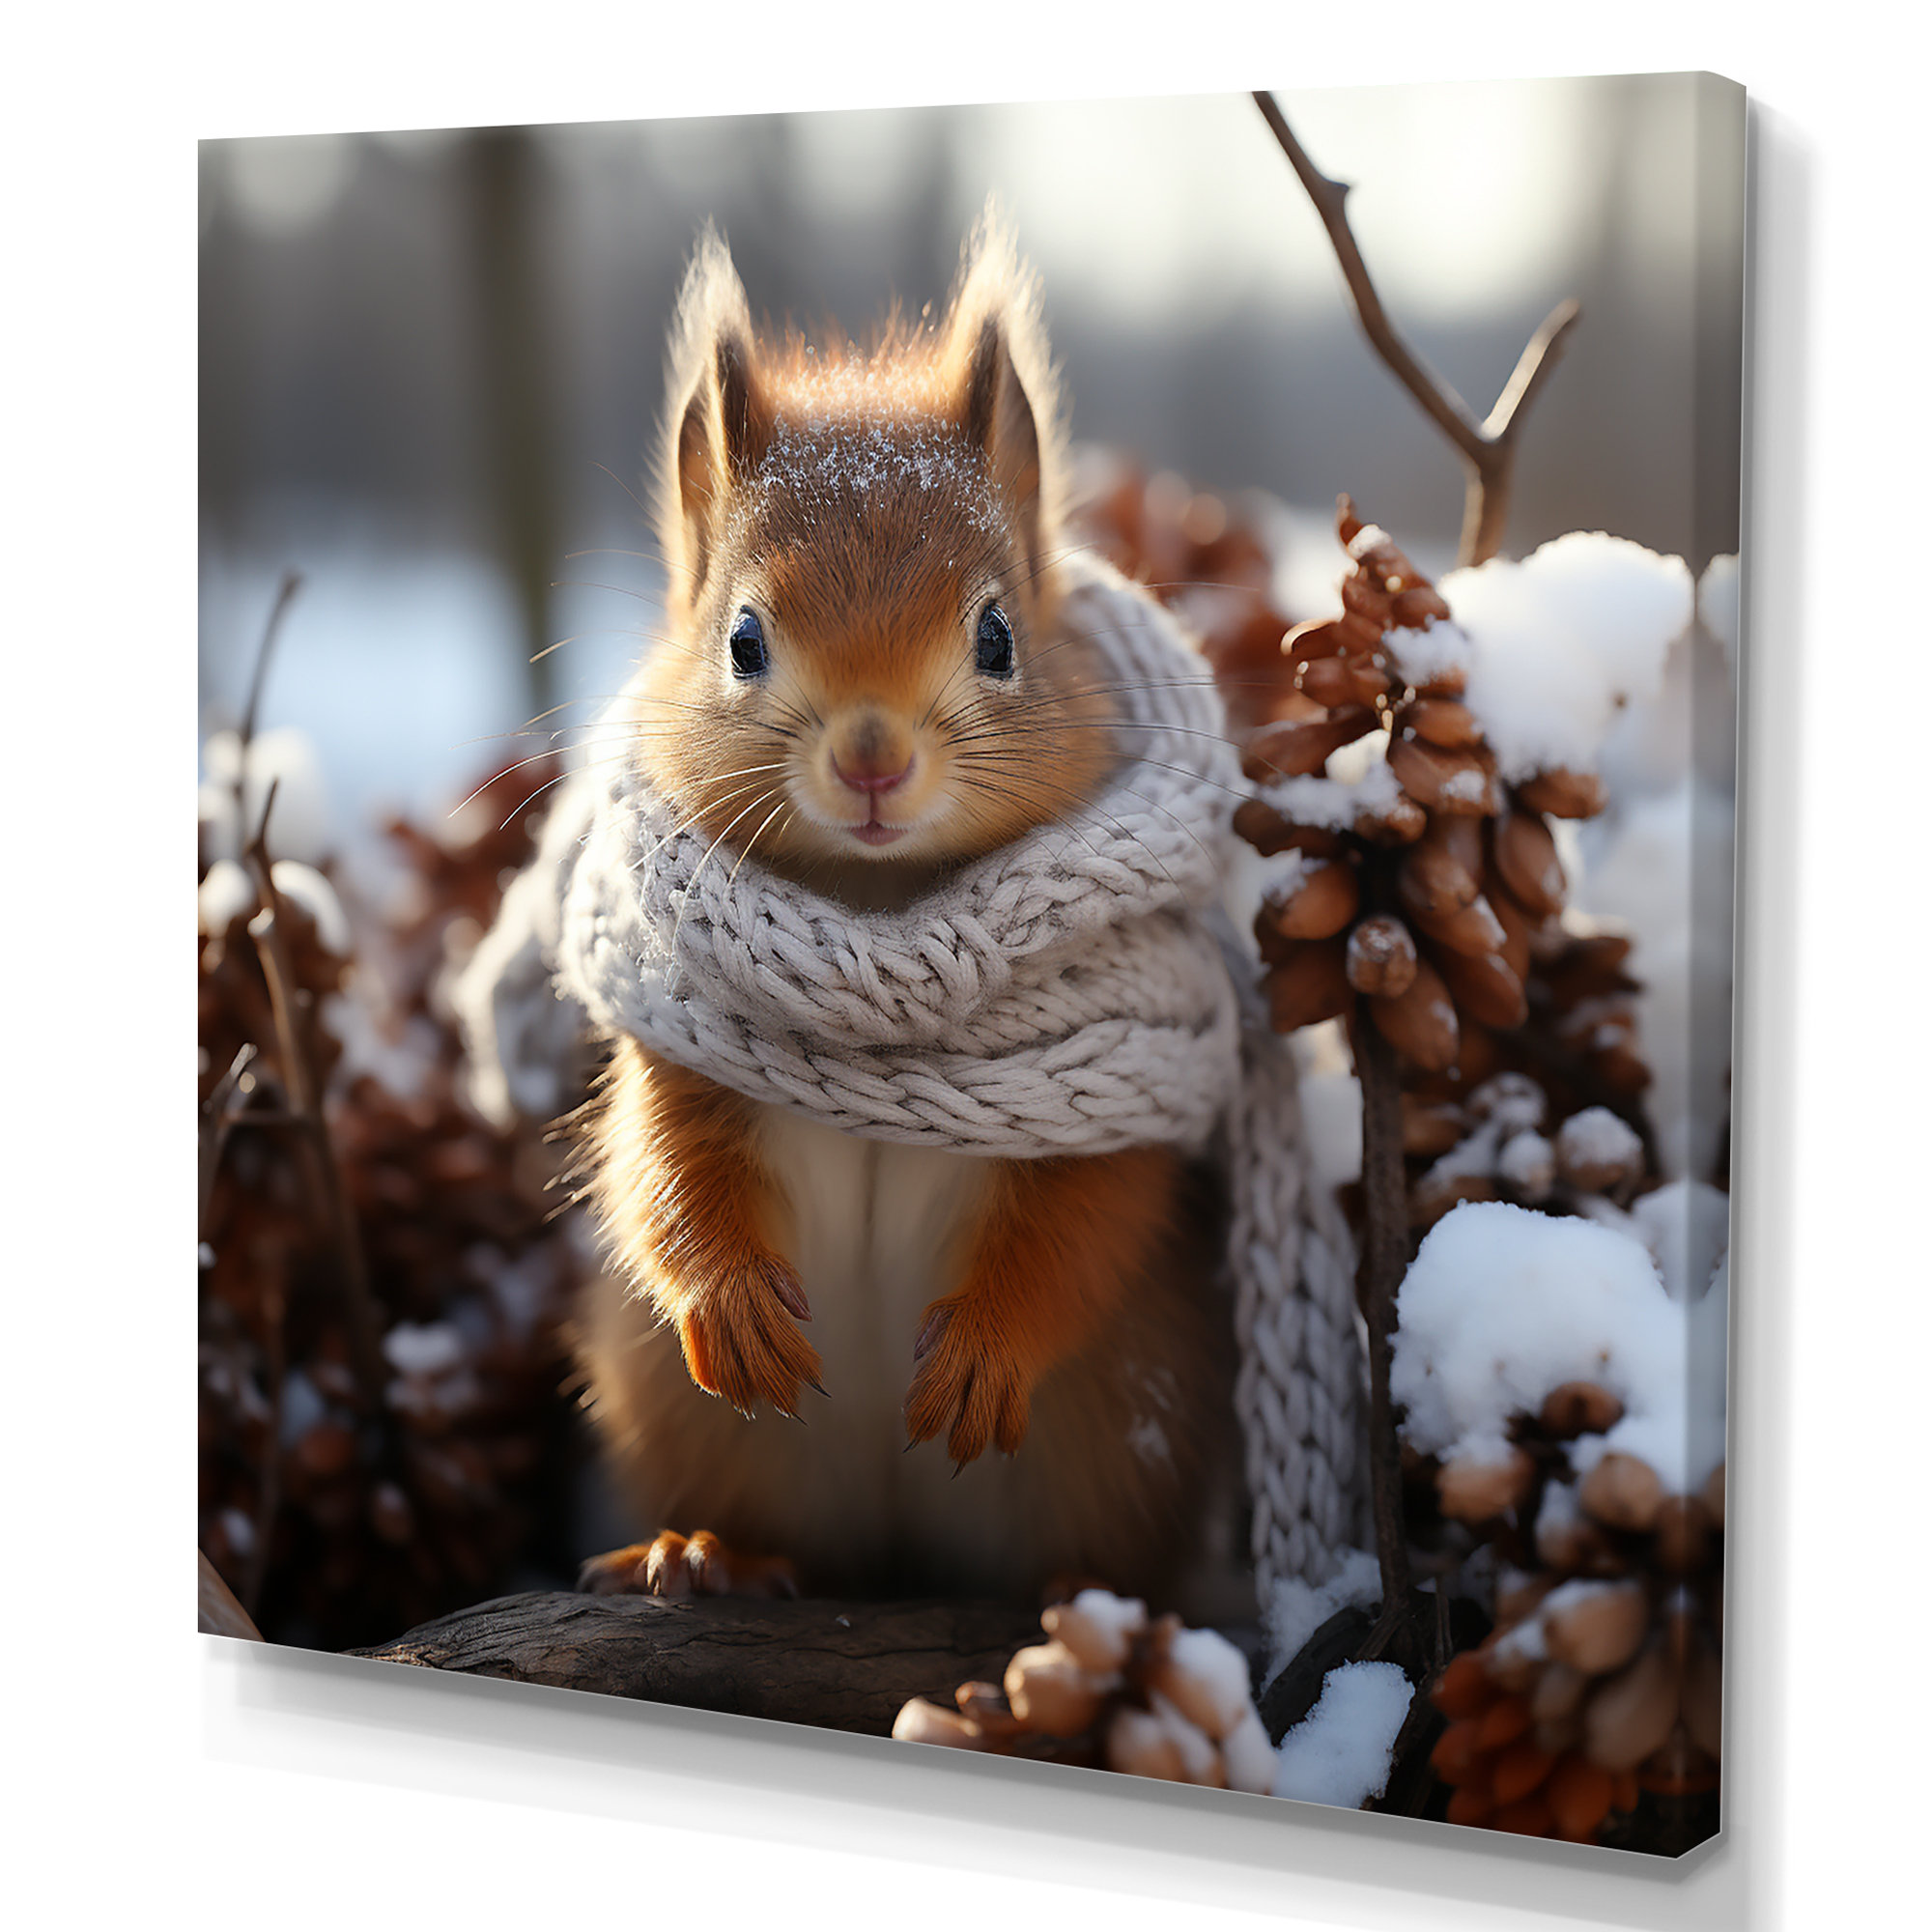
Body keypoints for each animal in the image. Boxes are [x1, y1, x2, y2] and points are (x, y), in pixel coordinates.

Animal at [571, 217, 1238, 1609]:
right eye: (743, 639)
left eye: (997, 638)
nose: (872, 758)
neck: (878, 906)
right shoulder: (680, 1056)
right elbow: (664, 1172)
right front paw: (731, 1303)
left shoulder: (1104, 1088)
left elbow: (1086, 1222)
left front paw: (986, 1350)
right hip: (698, 1427)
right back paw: (704, 1553)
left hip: (1119, 1434)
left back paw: (1083, 1607)